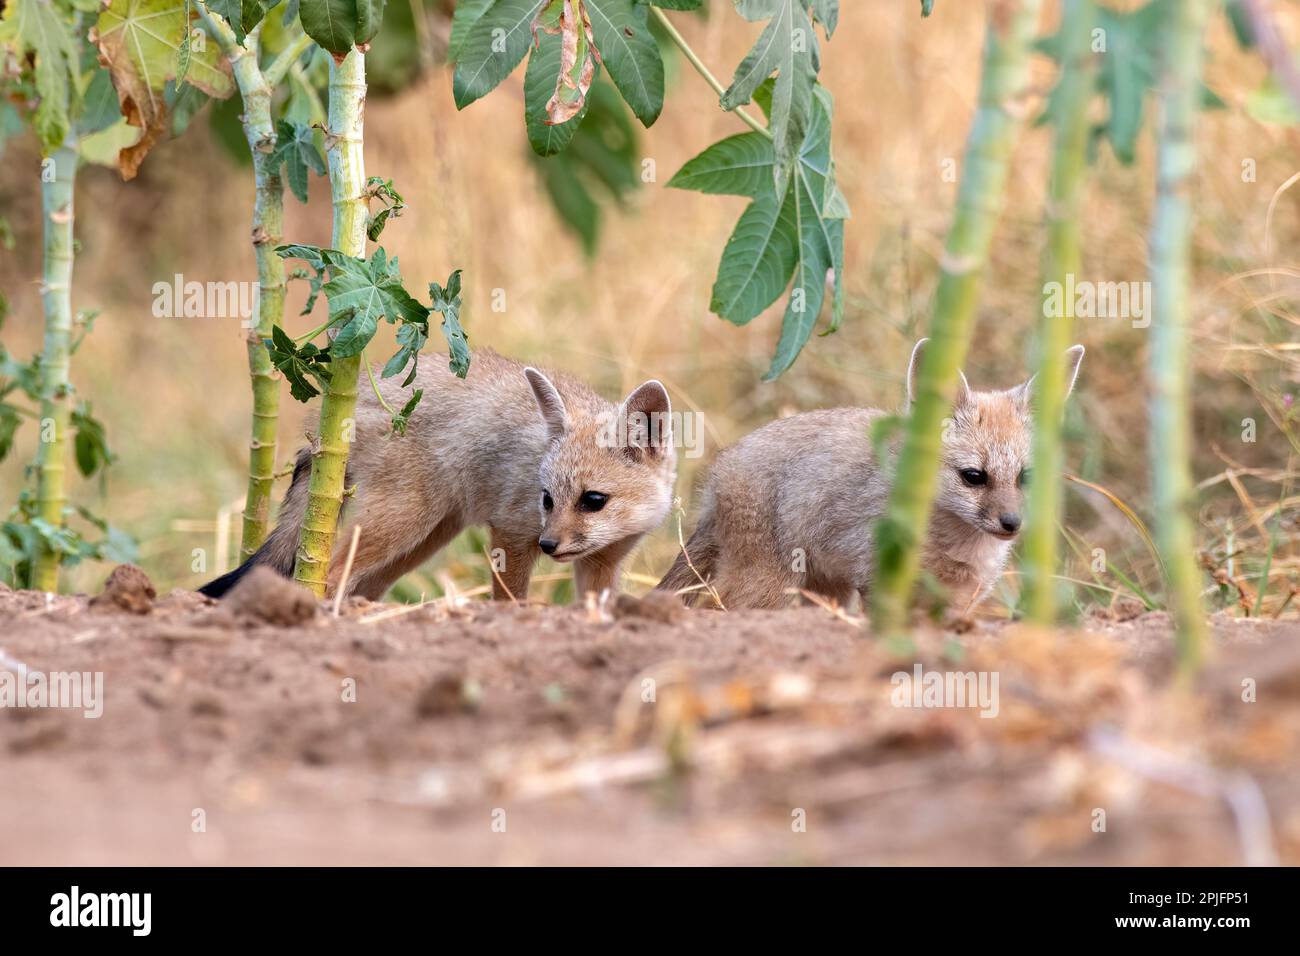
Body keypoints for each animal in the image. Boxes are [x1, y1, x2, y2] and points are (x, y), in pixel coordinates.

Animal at [200, 349, 677, 602]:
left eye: (593, 500)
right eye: (547, 498)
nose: (549, 544)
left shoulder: (603, 564)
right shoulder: (511, 534)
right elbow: (510, 600)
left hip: (423, 538)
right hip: (402, 523)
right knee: (332, 573)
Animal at [657, 339, 1085, 613]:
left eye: (1026, 477)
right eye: (974, 476)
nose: (1012, 523)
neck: (962, 549)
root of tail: (719, 471)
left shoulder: (958, 603)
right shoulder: (879, 585)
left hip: (825, 590)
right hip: (770, 588)